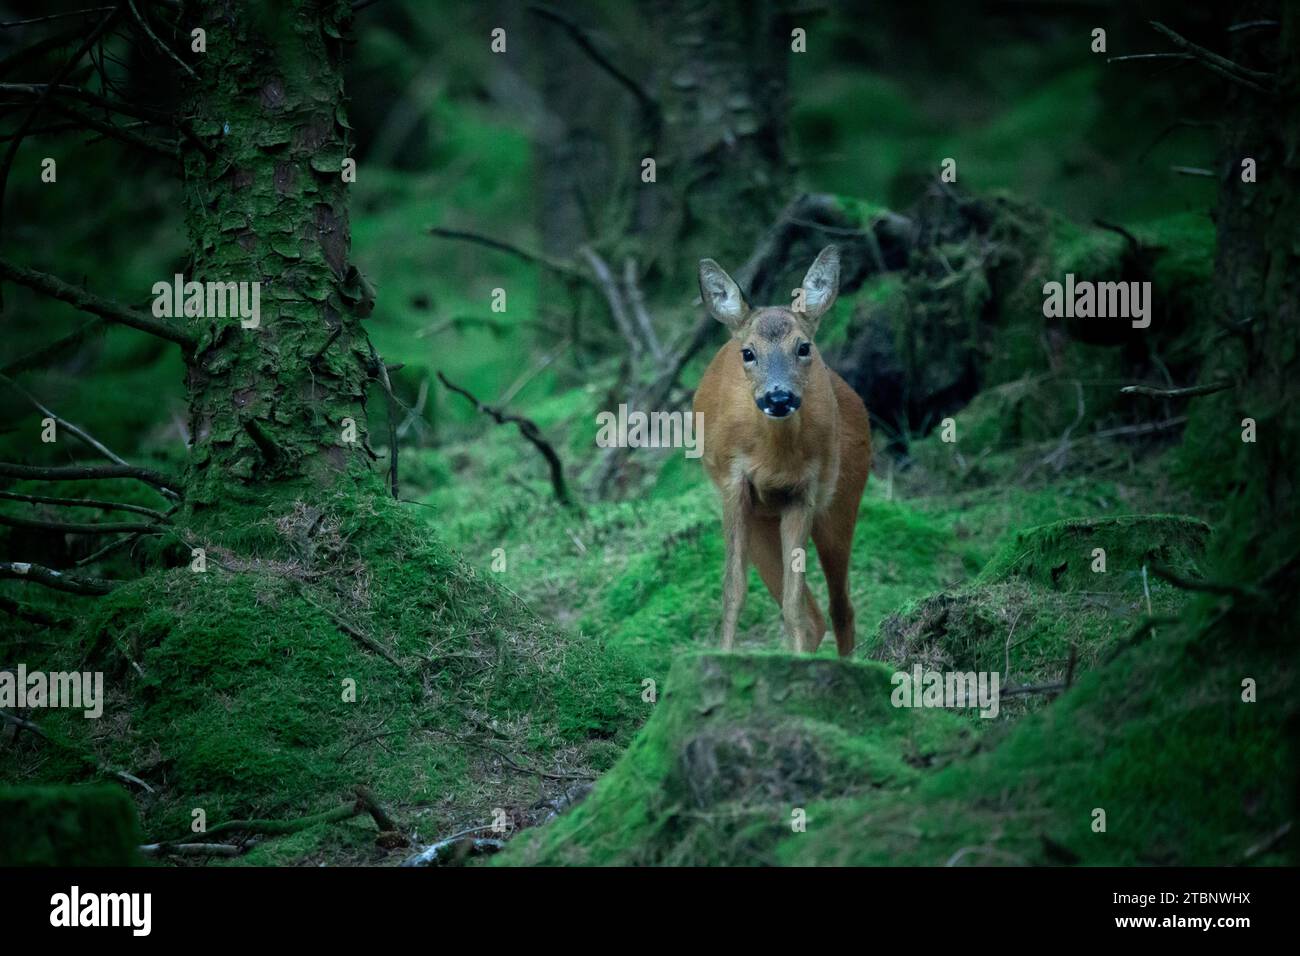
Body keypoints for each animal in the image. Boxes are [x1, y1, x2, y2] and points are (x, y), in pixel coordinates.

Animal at [692, 245, 872, 658]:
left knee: (839, 606)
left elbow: (791, 603)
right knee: (816, 614)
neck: (773, 461)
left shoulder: (803, 493)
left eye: (803, 347)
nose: (778, 397)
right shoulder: (733, 484)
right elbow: (734, 592)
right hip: (761, 519)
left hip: (843, 496)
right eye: (747, 352)